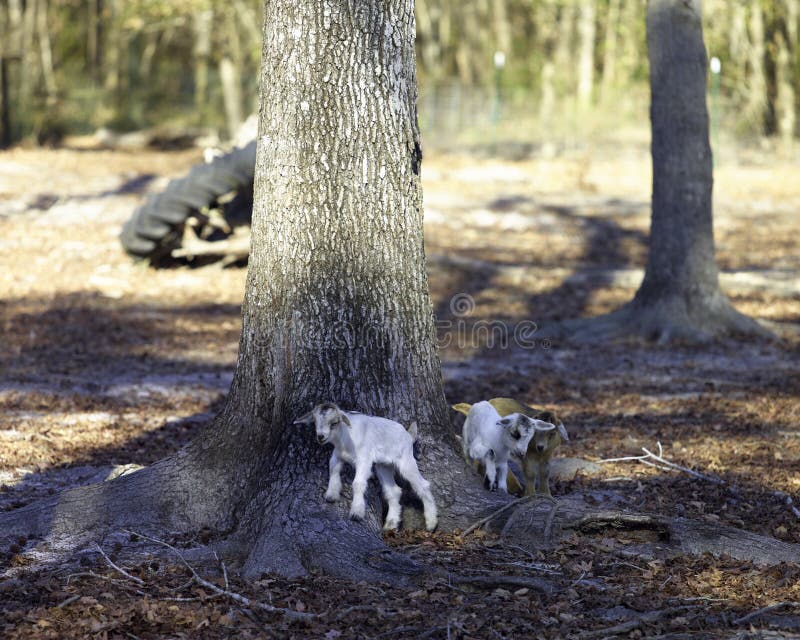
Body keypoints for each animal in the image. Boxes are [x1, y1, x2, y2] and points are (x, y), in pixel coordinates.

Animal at [294, 402, 438, 531]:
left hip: (406, 460)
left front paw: (356, 513)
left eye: (334, 423)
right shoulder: (337, 455)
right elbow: (333, 469)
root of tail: (408, 435)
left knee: (423, 485)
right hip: (383, 466)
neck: (345, 437)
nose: (321, 437)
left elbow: (358, 483)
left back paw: (431, 523)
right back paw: (390, 524)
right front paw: (331, 495)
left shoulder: (364, 460)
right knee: (394, 491)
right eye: (315, 421)